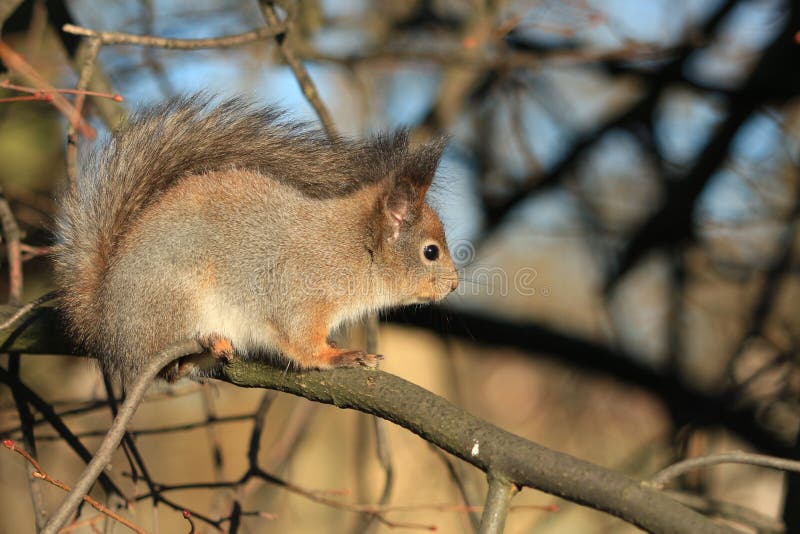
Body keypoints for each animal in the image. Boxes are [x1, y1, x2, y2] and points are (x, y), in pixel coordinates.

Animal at [52, 95, 459, 386]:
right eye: (431, 252)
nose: (454, 285)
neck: (353, 250)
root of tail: (104, 321)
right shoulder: (300, 293)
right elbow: (302, 343)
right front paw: (338, 356)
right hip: (173, 301)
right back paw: (210, 340)